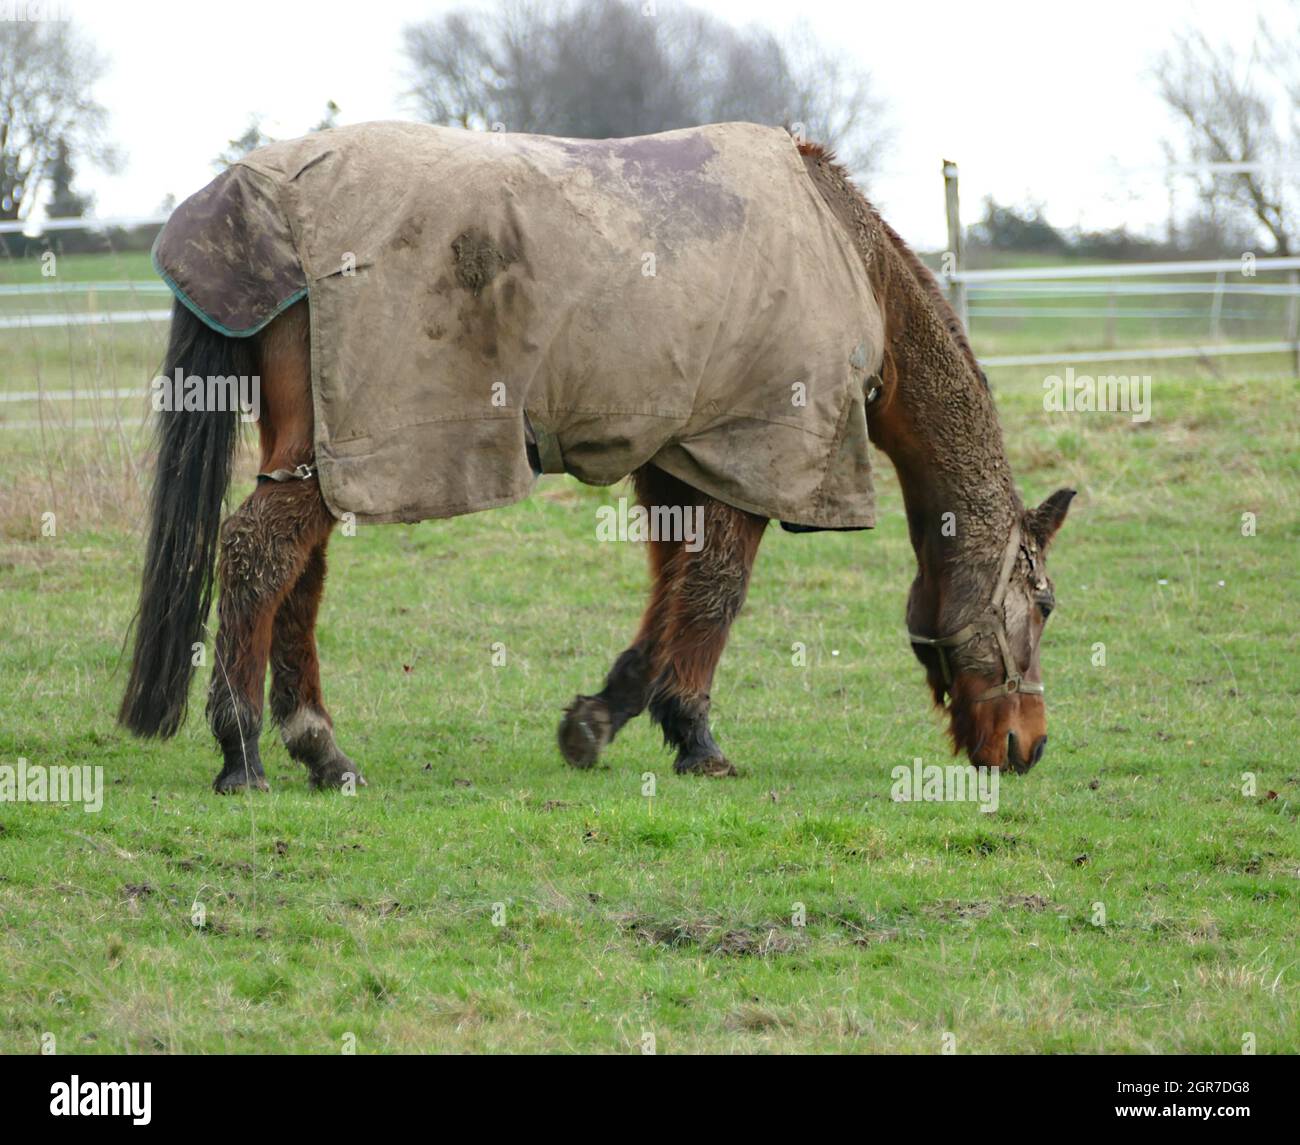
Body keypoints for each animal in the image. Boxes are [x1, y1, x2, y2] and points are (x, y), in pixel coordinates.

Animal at [118, 125, 1074, 792]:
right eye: (1044, 604)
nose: (1028, 745)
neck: (849, 255)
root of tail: (251, 199)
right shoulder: (753, 453)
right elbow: (716, 592)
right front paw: (680, 735)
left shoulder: (680, 460)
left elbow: (675, 589)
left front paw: (626, 719)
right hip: (344, 455)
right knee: (257, 554)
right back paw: (244, 751)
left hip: (318, 458)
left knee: (294, 574)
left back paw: (320, 748)